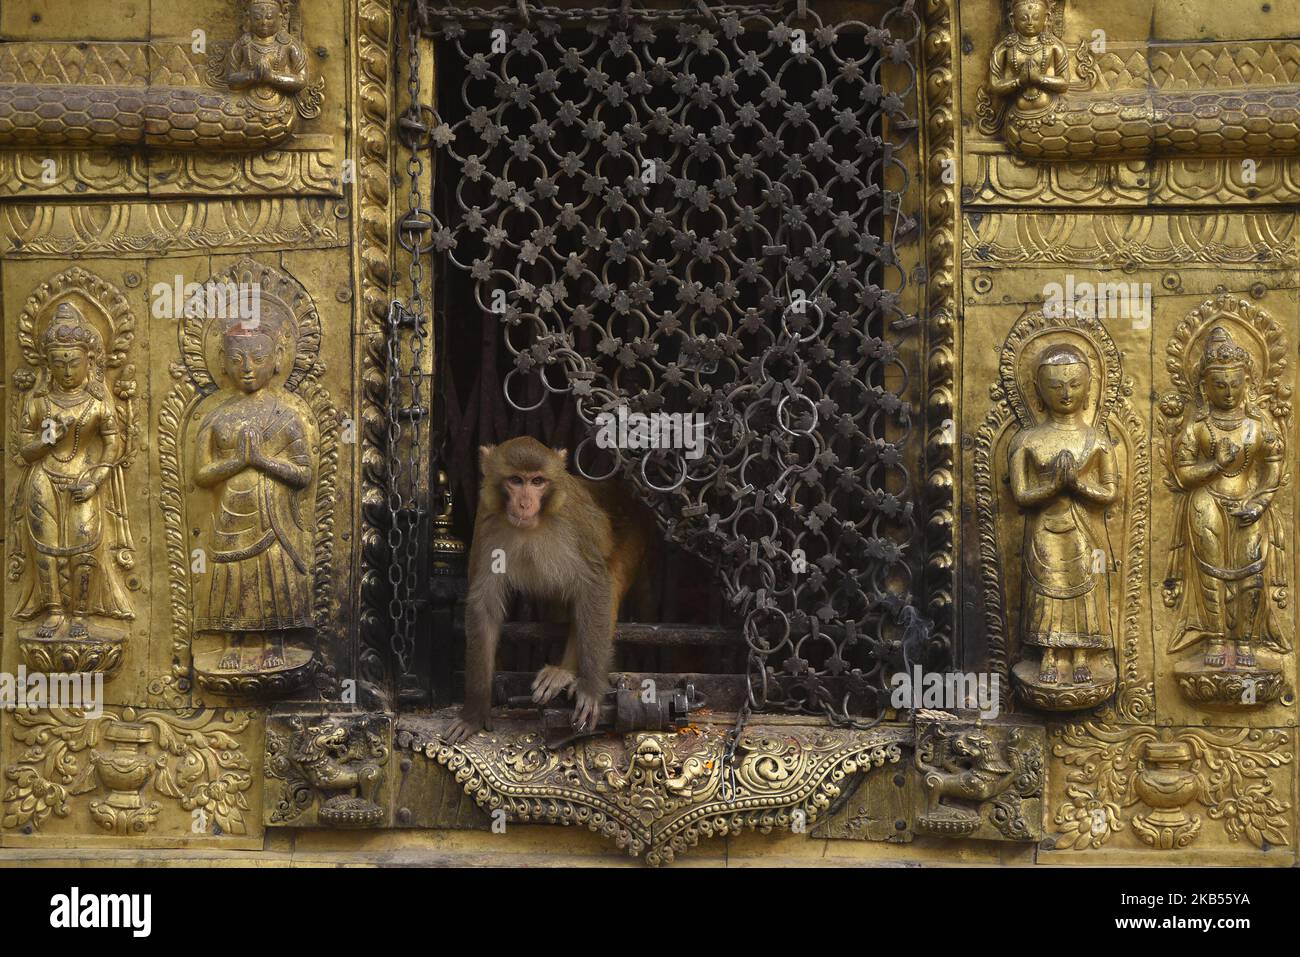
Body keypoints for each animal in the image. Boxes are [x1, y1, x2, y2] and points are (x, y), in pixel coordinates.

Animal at [445, 436, 652, 745]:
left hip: (633, 537)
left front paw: (591, 689)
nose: (525, 503)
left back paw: (565, 672)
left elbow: (595, 583)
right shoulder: (487, 518)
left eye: (538, 481)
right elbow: (485, 606)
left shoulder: (572, 521)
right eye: (516, 480)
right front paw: (475, 712)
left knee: (607, 580)